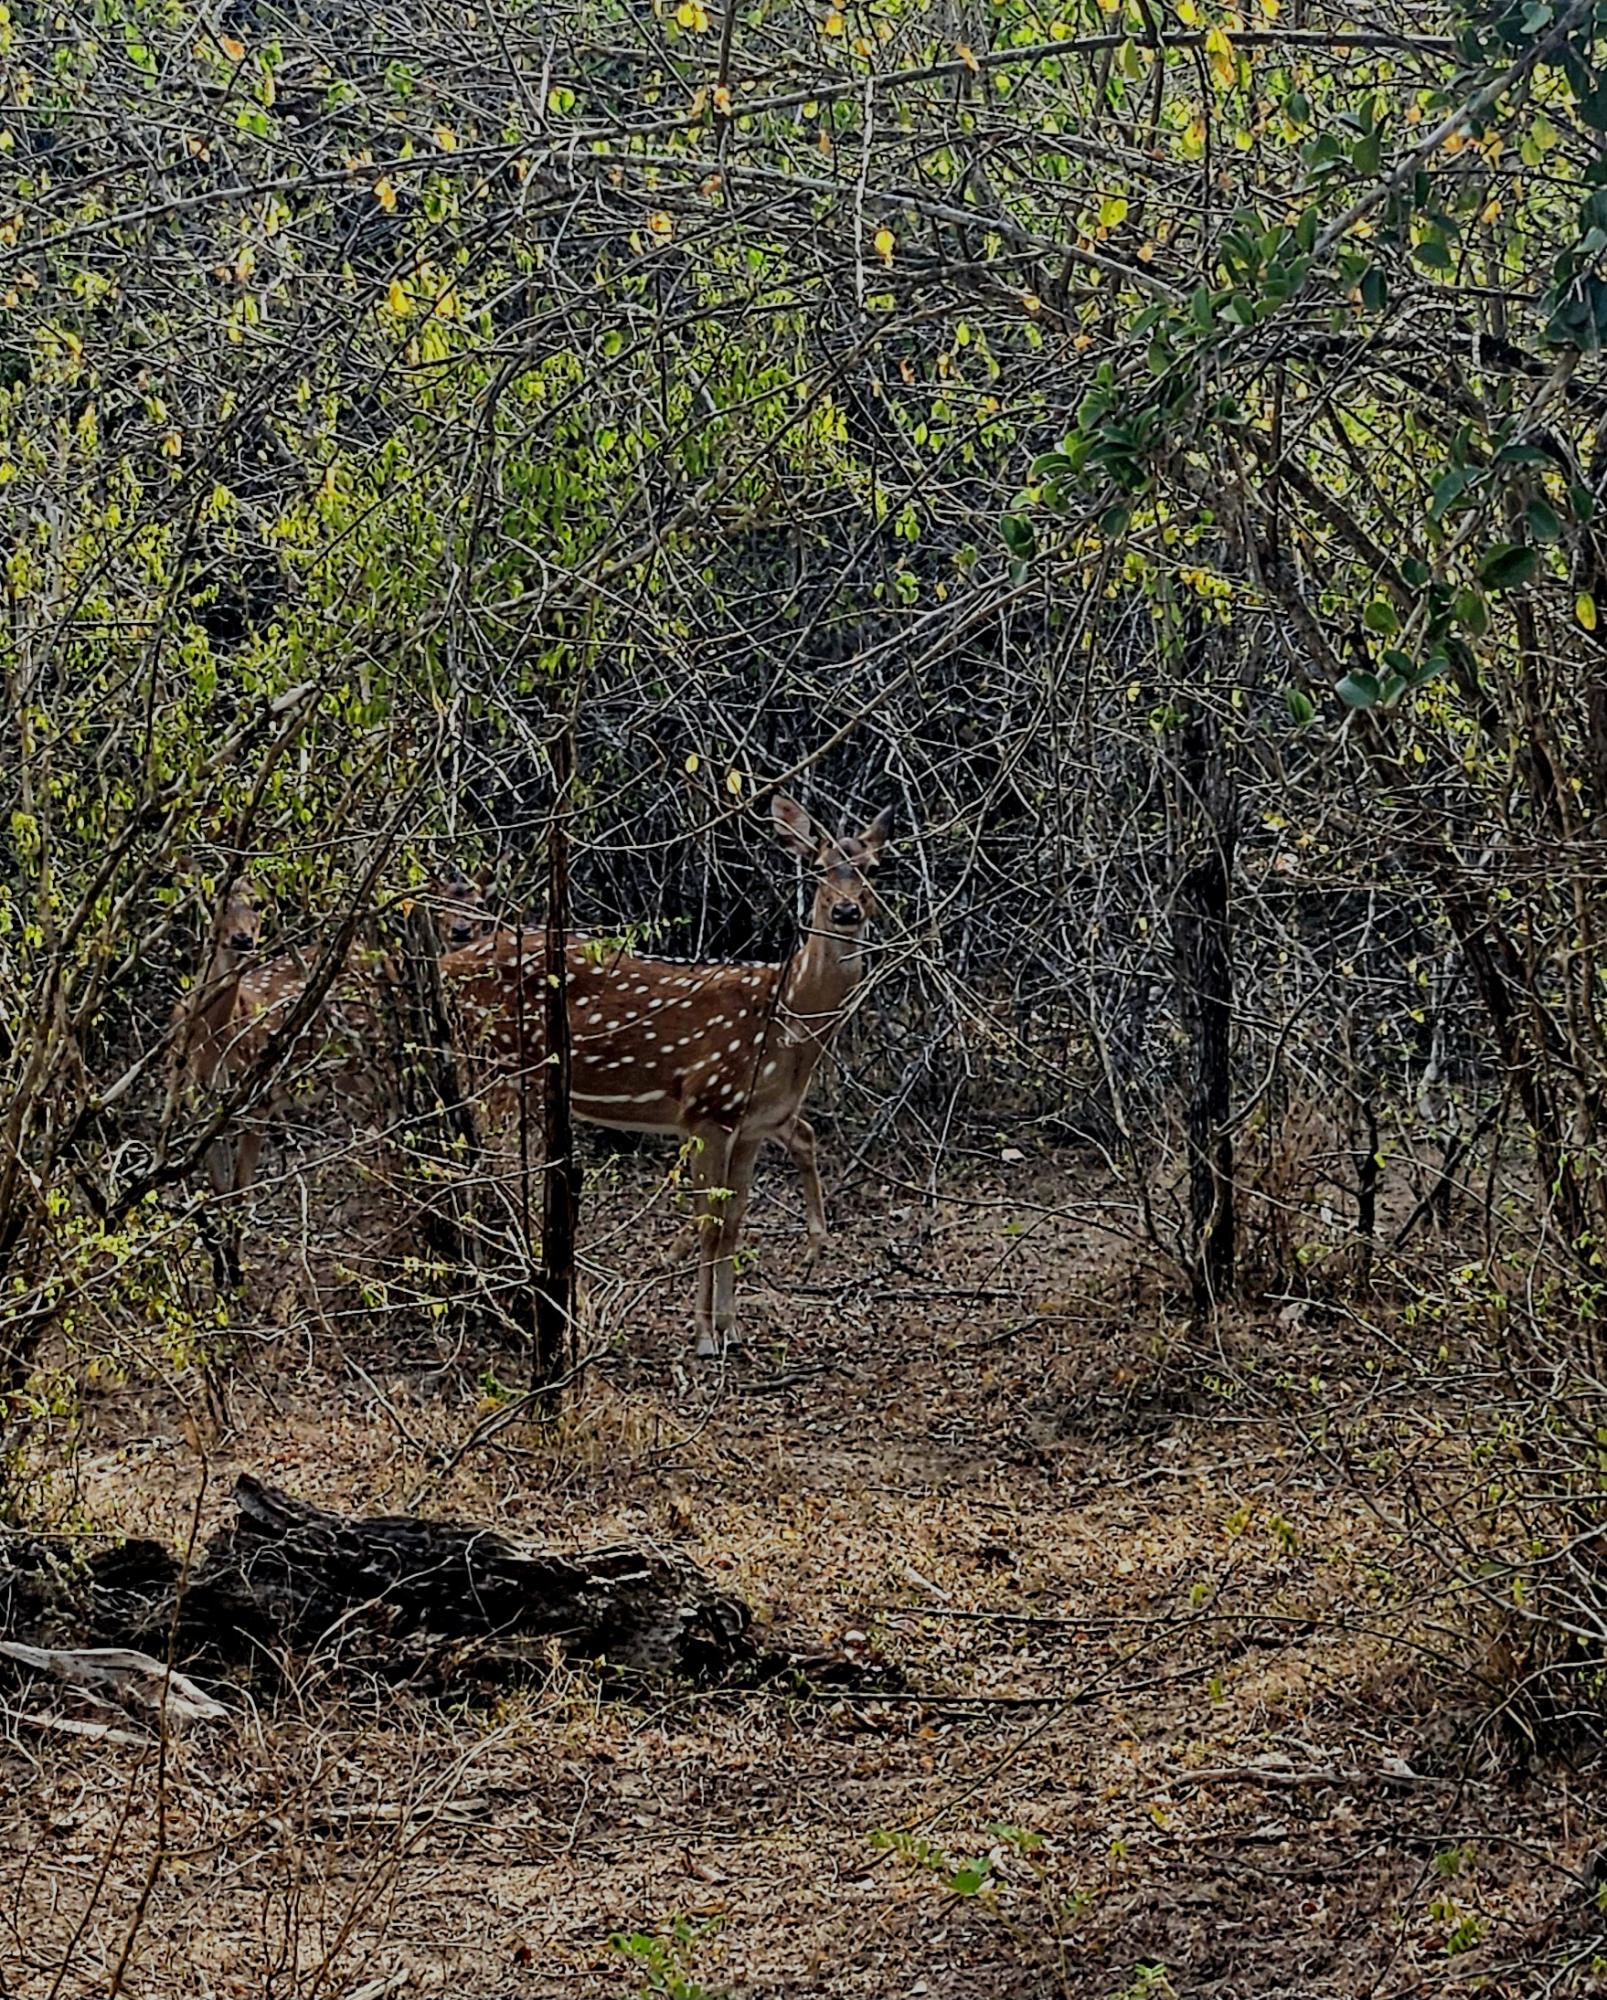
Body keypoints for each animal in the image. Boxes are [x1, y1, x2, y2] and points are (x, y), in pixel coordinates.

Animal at [439, 796, 891, 1360]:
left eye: (873, 868)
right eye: (817, 867)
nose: (846, 912)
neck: (786, 1019)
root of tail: (445, 964)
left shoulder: (753, 1125)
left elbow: (734, 1221)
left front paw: (732, 1328)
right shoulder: (707, 1107)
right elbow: (708, 1223)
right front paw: (703, 1337)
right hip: (494, 1061)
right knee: (485, 1163)